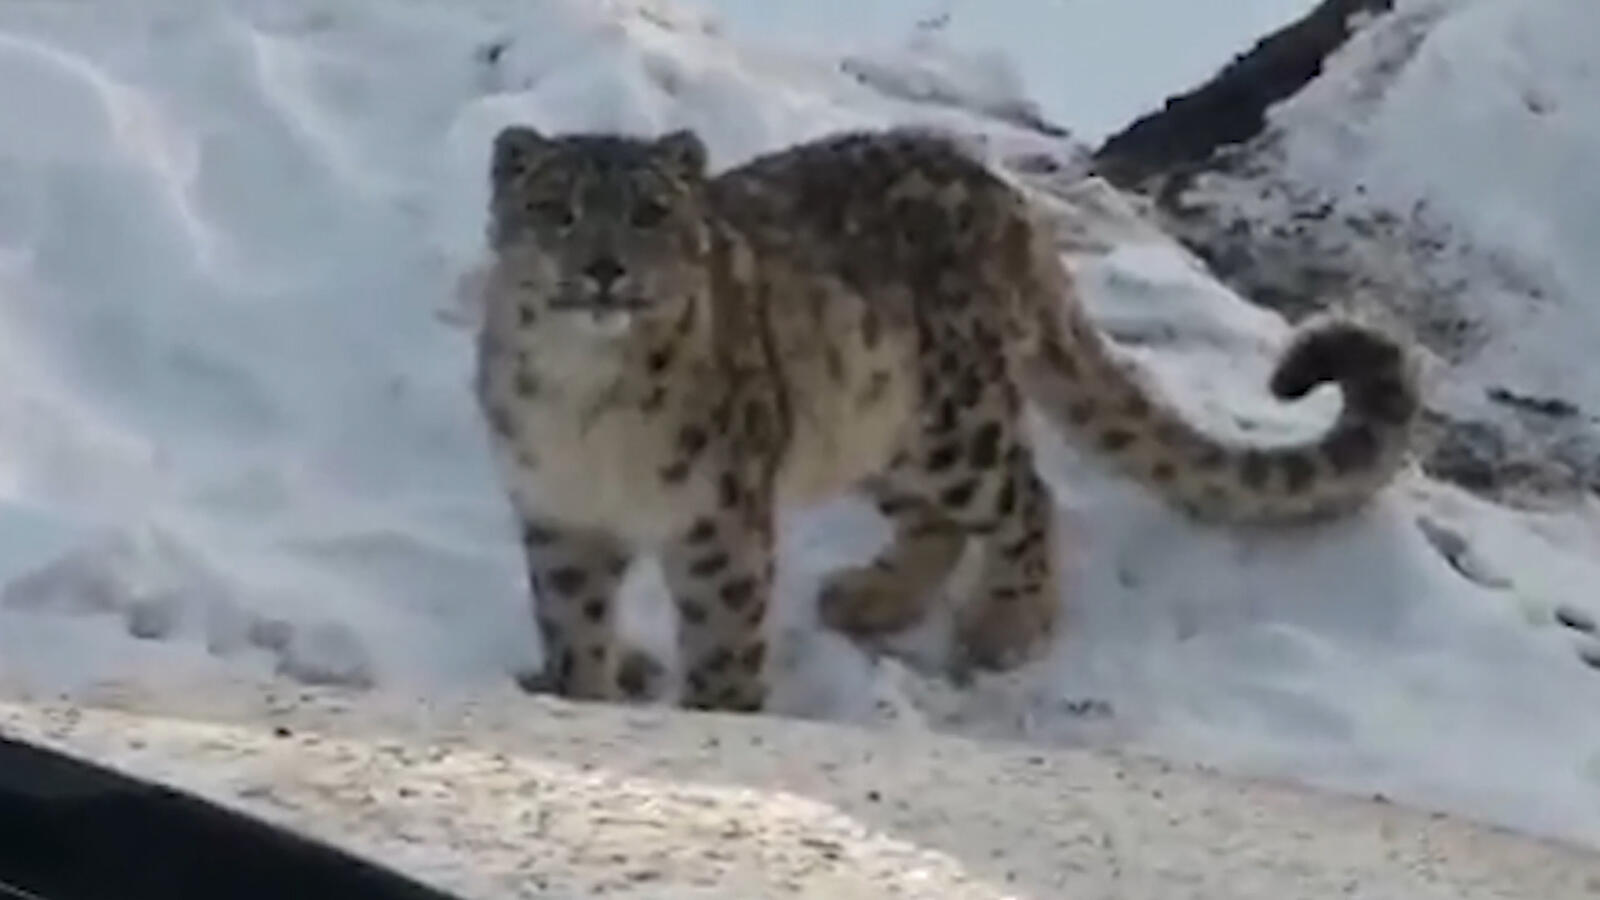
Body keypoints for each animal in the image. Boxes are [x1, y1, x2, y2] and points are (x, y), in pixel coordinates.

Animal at [468, 125, 1420, 714]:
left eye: (650, 212)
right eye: (555, 209)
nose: (603, 268)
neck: (585, 397)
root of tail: (1006, 198)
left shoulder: (718, 517)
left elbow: (723, 630)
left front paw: (718, 711)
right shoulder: (559, 516)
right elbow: (574, 619)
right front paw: (581, 692)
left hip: (953, 420)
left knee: (1024, 495)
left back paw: (1004, 627)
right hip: (879, 424)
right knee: (938, 521)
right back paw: (871, 598)